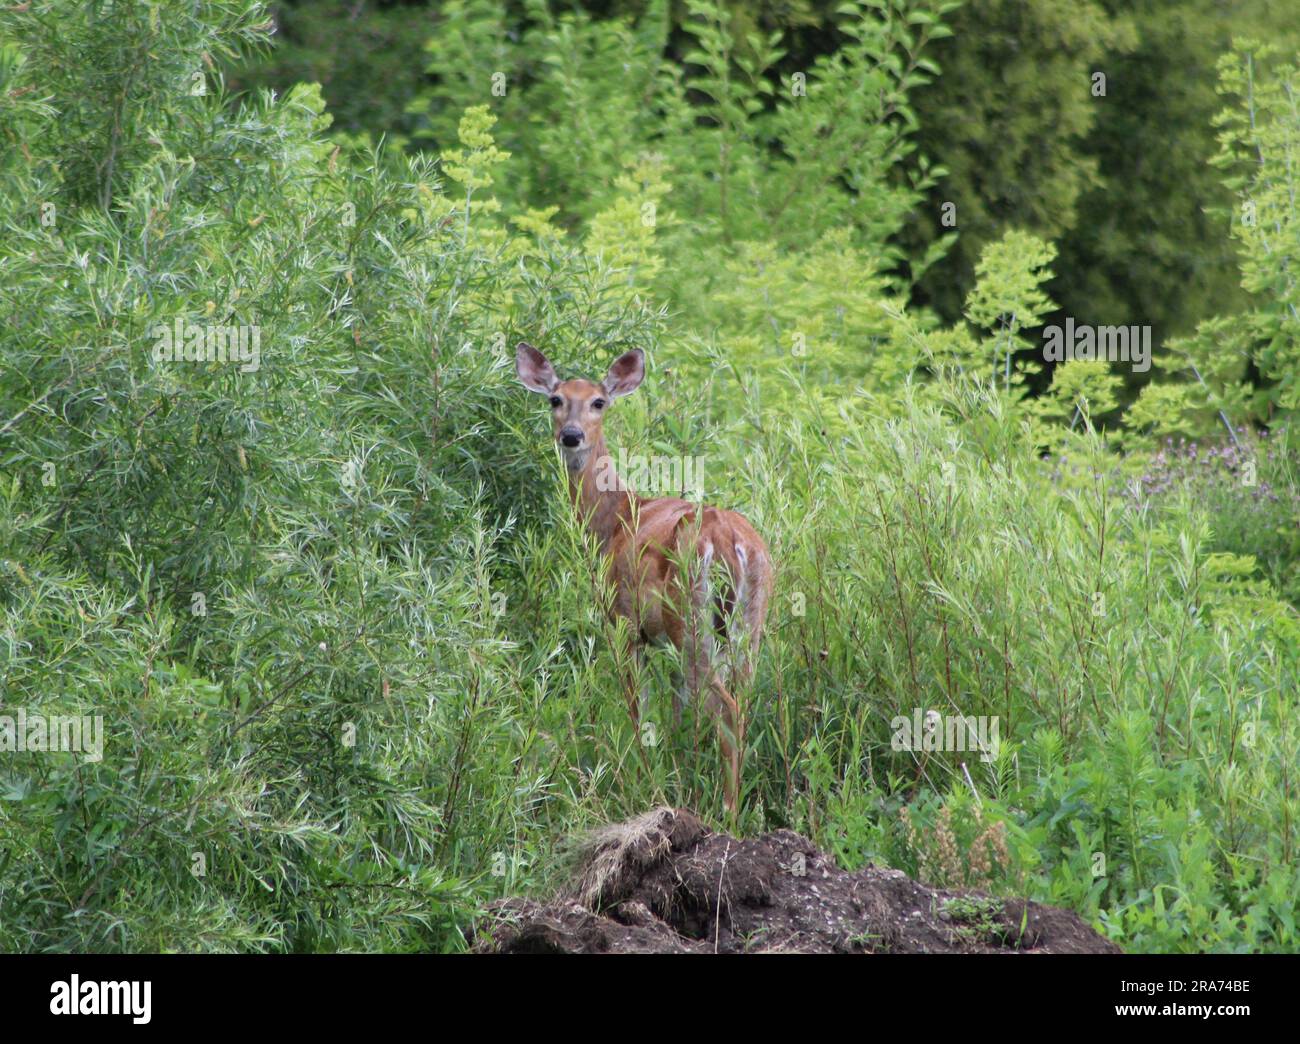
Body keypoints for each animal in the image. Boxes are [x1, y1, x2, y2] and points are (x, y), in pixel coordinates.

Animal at [516, 342, 773, 815]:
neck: (613, 522)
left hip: (691, 618)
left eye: (599, 402)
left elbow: (640, 712)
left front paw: (645, 778)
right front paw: (677, 768)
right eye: (556, 399)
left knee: (726, 707)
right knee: (743, 699)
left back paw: (728, 811)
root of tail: (727, 539)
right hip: (750, 620)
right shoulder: (663, 642)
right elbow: (676, 714)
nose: (571, 435)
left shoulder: (623, 623)